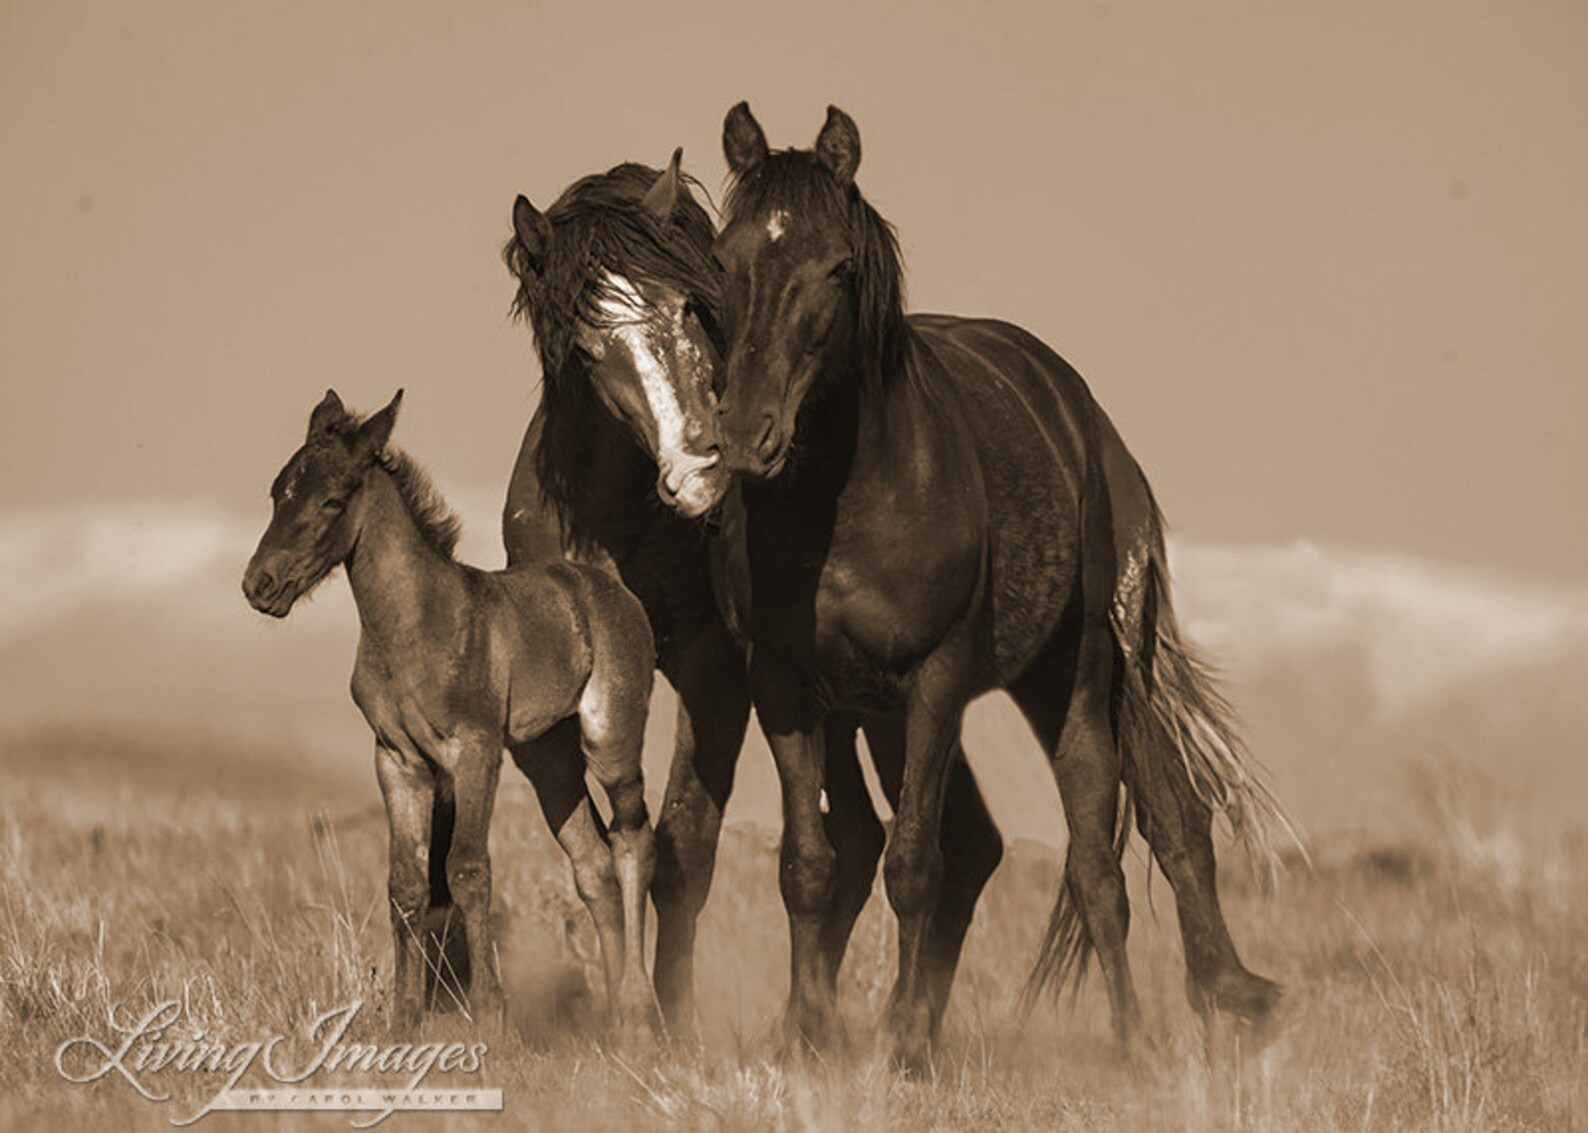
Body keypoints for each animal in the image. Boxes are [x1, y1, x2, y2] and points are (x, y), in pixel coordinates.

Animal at [242, 389, 660, 1037]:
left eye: (334, 498)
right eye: (277, 492)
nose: (259, 585)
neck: (415, 625)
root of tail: (610, 588)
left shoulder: (475, 748)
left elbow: (467, 868)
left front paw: (490, 1015)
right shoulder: (398, 760)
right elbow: (407, 883)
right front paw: (404, 1020)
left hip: (610, 737)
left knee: (633, 838)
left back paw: (639, 1011)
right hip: (549, 760)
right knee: (593, 864)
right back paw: (614, 1017)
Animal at [499, 155, 1005, 1041]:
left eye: (690, 308)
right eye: (589, 349)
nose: (704, 468)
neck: (611, 523)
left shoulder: (717, 674)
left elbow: (683, 845)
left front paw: (670, 1020)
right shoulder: (542, 706)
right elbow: (590, 854)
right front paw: (625, 1013)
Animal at [704, 102, 1297, 1069]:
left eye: (839, 267)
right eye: (723, 258)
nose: (748, 433)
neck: (845, 499)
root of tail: (1087, 418)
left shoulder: (938, 678)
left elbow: (916, 861)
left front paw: (901, 1052)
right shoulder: (787, 685)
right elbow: (810, 863)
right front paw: (811, 1039)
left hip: (1070, 680)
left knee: (1105, 851)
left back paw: (1135, 1037)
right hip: (874, 711)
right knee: (999, 841)